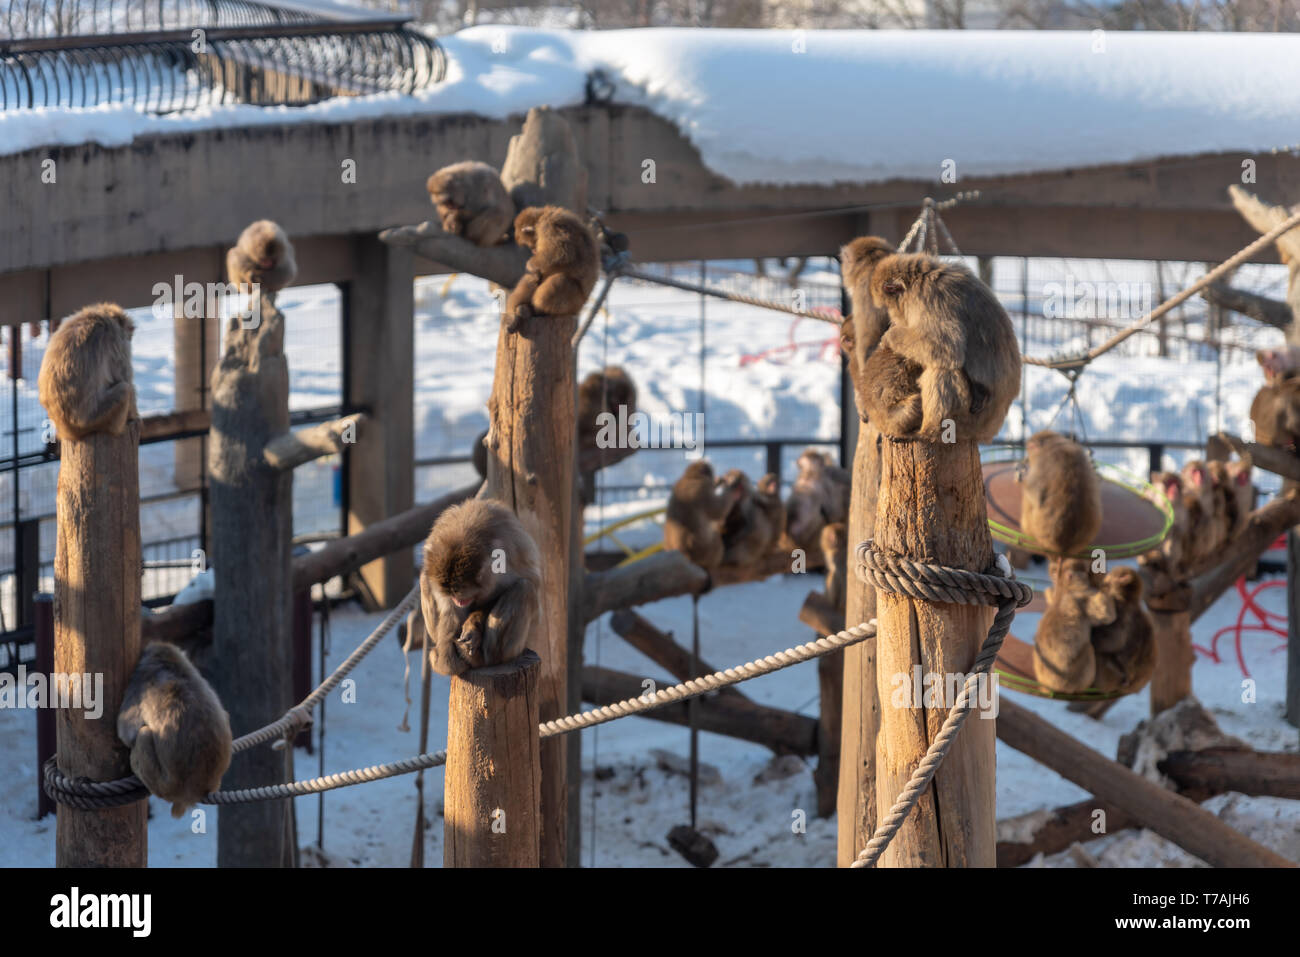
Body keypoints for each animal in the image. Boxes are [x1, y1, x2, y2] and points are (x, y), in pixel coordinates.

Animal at [37, 302, 138, 441]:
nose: (130, 337)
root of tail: (68, 430)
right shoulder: (117, 339)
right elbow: (124, 379)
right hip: (96, 419)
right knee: (124, 389)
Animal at [116, 642, 233, 819]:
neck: (171, 664)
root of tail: (193, 793)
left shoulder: (139, 684)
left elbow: (126, 734)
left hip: (164, 786)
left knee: (143, 734)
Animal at [419, 498, 542, 677]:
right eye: (453, 594)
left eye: (460, 593)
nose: (458, 600)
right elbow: (450, 612)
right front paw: (446, 658)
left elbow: (527, 580)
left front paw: (473, 627)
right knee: (423, 577)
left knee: (525, 589)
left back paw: (491, 658)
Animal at [862, 253, 1021, 443]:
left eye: (888, 306)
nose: (892, 317)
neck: (920, 279)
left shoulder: (929, 298)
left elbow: (946, 346)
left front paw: (889, 337)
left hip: (970, 420)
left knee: (943, 371)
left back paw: (928, 433)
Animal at [1032, 557, 1117, 694]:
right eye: (1084, 568)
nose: (1089, 565)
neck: (1065, 587)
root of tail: (1050, 686)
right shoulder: (1084, 594)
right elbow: (1107, 615)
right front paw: (1106, 585)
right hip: (1075, 677)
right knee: (1089, 648)